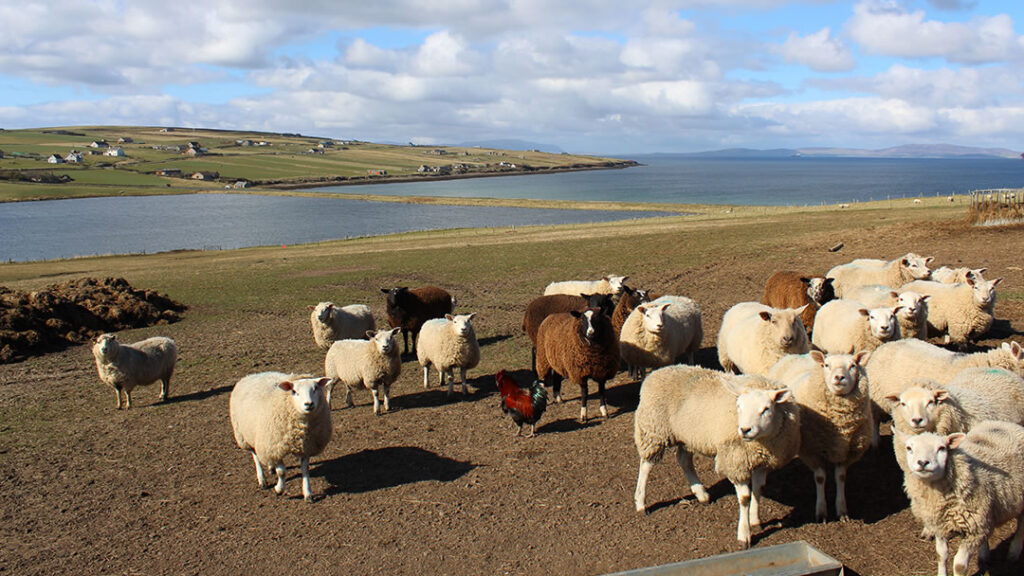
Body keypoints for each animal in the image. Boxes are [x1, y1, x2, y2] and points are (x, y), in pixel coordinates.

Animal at [229, 371, 332, 502]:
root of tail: (254, 374)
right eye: (294, 391)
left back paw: (270, 467)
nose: (308, 404)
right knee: (255, 455)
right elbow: (282, 472)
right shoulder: (274, 446)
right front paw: (279, 489)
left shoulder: (305, 446)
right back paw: (262, 479)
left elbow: (305, 470)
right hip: (246, 436)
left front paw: (308, 493)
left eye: (316, 388)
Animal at [633, 365, 800, 548]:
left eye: (766, 409)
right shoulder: (735, 461)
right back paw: (640, 502)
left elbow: (758, 489)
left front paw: (755, 520)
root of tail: (658, 372)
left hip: (688, 435)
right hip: (653, 429)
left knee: (684, 460)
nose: (745, 430)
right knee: (646, 465)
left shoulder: (762, 461)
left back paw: (701, 494)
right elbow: (745, 498)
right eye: (739, 406)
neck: (762, 441)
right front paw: (744, 534)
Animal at [767, 351, 873, 522]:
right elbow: (820, 478)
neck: (840, 425)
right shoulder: (812, 450)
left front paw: (842, 510)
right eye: (826, 365)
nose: (839, 377)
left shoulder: (845, 452)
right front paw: (821, 512)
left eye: (853, 366)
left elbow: (841, 477)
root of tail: (794, 355)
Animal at [899, 421, 1024, 576]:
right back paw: (984, 554)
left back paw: (1014, 552)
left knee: (1021, 526)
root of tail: (1006, 424)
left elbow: (959, 565)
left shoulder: (973, 531)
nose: (922, 462)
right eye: (909, 448)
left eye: (941, 448)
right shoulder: (940, 525)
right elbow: (941, 555)